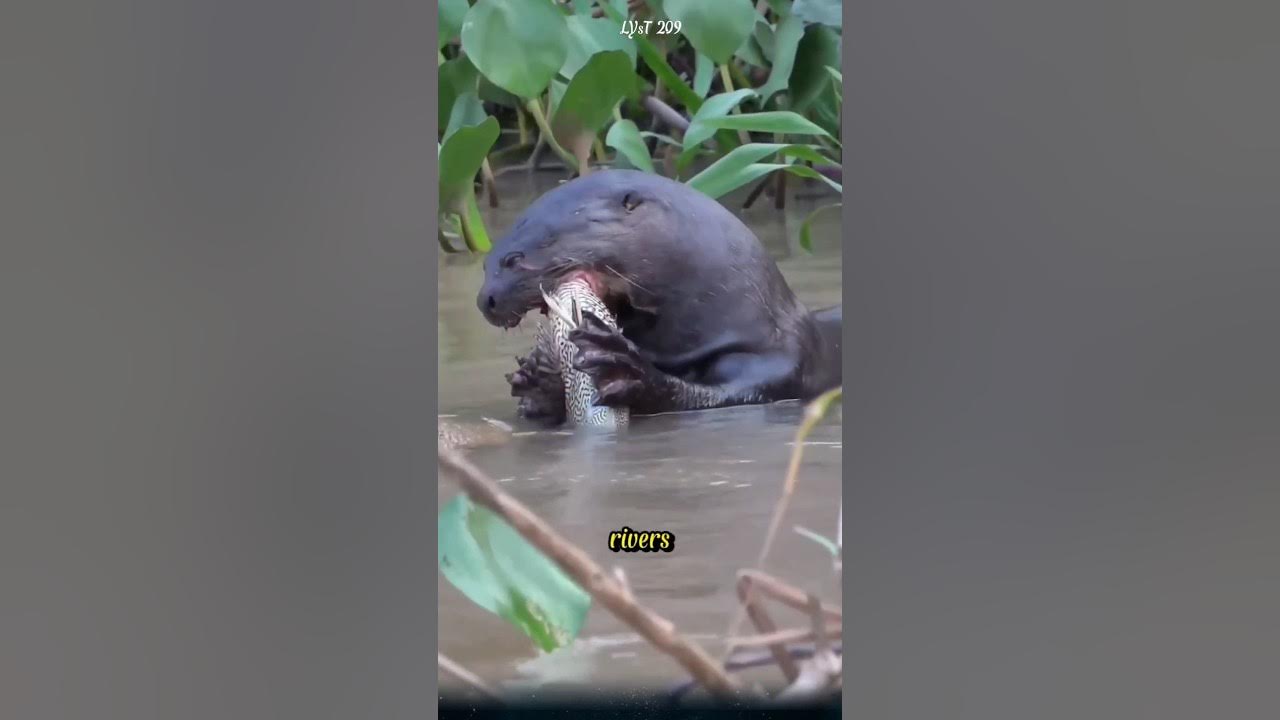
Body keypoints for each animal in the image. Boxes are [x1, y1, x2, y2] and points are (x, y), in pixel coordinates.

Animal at [476, 170, 841, 425]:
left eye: (514, 259)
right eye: (486, 263)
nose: (485, 300)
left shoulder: (778, 365)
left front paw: (624, 369)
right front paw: (538, 382)